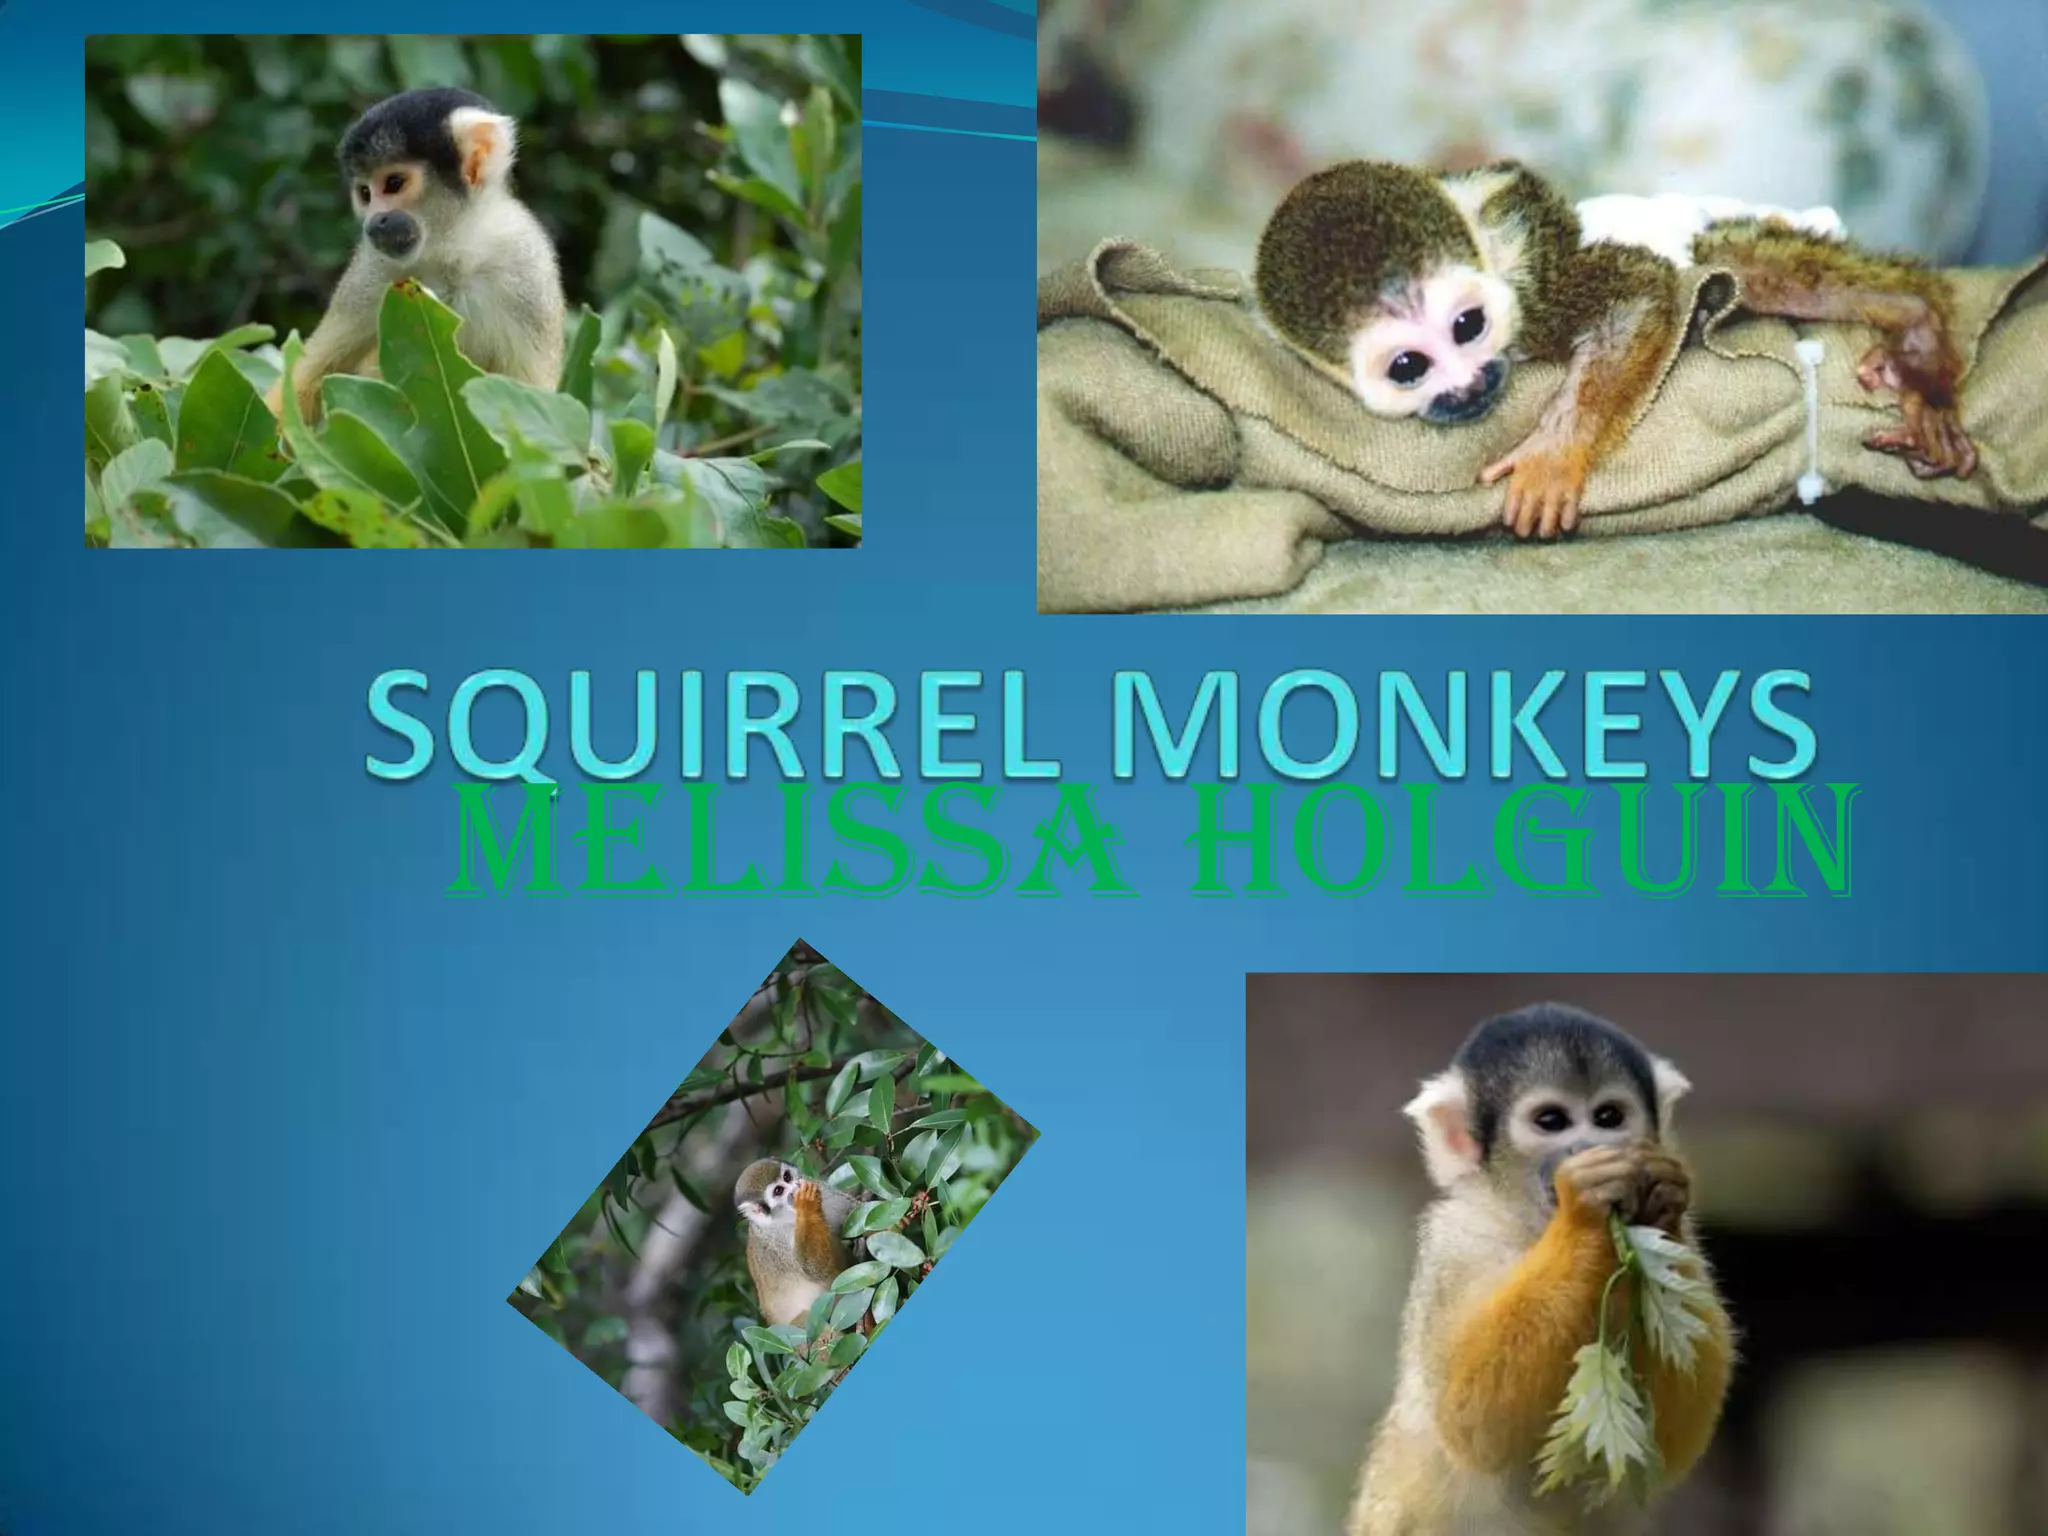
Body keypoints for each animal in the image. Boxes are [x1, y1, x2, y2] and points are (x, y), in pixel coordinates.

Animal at [268, 87, 566, 424]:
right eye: (365, 193)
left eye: (394, 184)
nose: (374, 222)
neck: (452, 256)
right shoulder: (373, 268)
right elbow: (308, 375)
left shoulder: (526, 268)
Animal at [733, 1158, 861, 1330]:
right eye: (779, 1191)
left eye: (787, 1177)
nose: (796, 1186)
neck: (789, 1214)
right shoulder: (776, 1239)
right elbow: (816, 1268)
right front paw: (808, 1208)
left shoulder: (820, 1188)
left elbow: (858, 1209)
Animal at [1254, 160, 1977, 542]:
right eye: (1408, 366)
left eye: (1468, 326)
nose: (1470, 382)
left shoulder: (1535, 297)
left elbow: (1640, 295)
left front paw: (1554, 456)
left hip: (1713, 236)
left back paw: (1918, 341)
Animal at [1347, 1003, 1734, 1536]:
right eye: (1551, 1121)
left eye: (1609, 1117)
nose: (1588, 1145)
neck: (1533, 1225)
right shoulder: (1456, 1242)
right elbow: (1472, 1417)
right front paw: (1583, 1211)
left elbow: (1668, 1440)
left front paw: (1662, 1200)